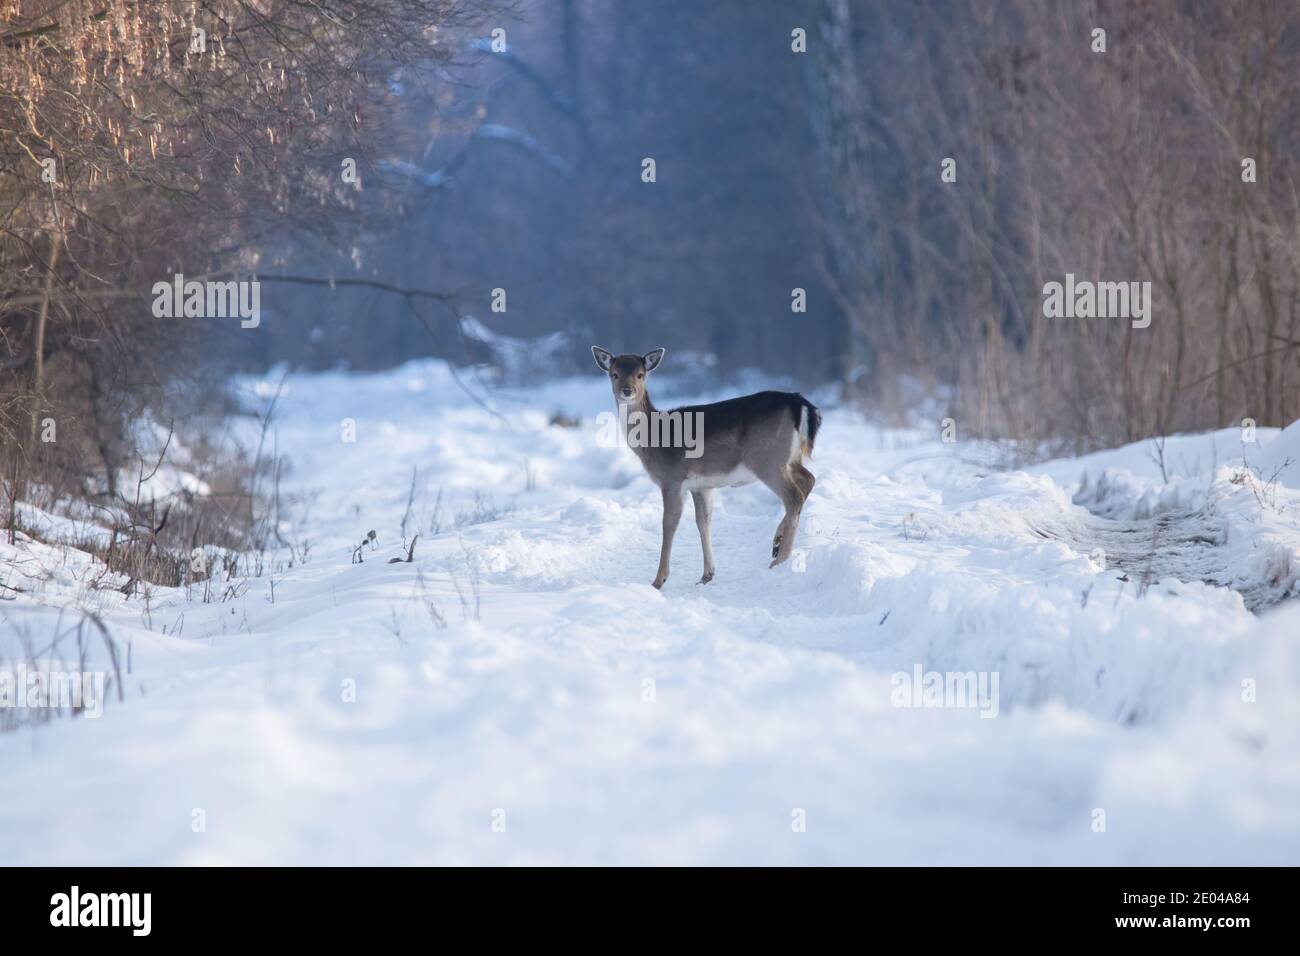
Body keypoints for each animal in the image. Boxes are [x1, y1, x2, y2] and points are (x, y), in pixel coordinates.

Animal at [592, 346, 821, 589]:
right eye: (614, 374)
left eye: (640, 374)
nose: (627, 391)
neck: (653, 439)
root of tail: (800, 404)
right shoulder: (702, 485)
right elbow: (704, 522)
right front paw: (707, 574)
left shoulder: (672, 479)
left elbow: (669, 524)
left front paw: (658, 580)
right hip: (790, 459)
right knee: (809, 479)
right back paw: (776, 543)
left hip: (768, 460)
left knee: (793, 496)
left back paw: (779, 560)